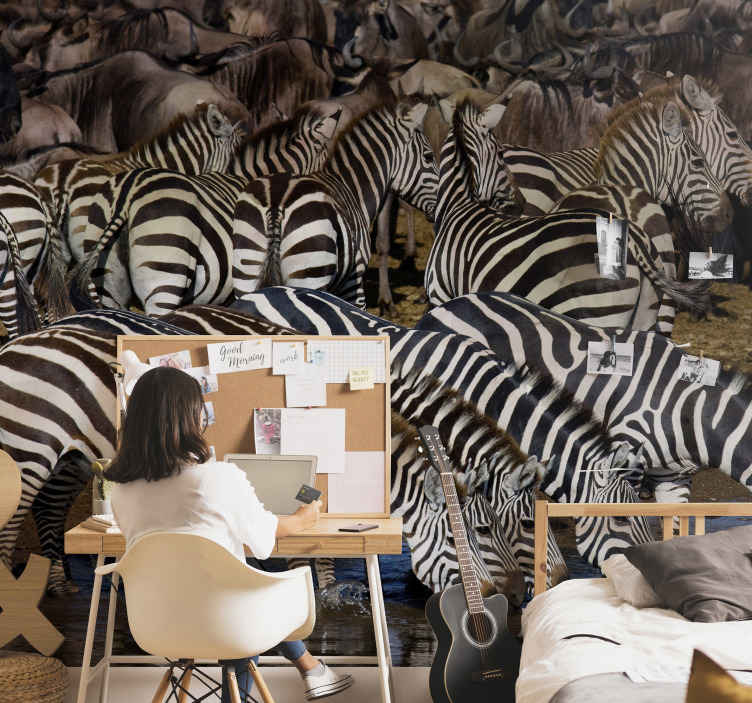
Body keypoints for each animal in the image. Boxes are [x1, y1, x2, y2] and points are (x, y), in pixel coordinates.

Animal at [231, 101, 438, 309]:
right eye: (429, 157)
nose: (439, 209)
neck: (351, 187)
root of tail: (275, 206)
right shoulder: (353, 279)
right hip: (310, 275)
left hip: (246, 272)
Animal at [425, 98, 711, 333]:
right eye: (499, 153)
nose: (519, 204)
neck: (459, 203)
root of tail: (633, 241)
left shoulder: (441, 295)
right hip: (648, 314)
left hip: (594, 314)